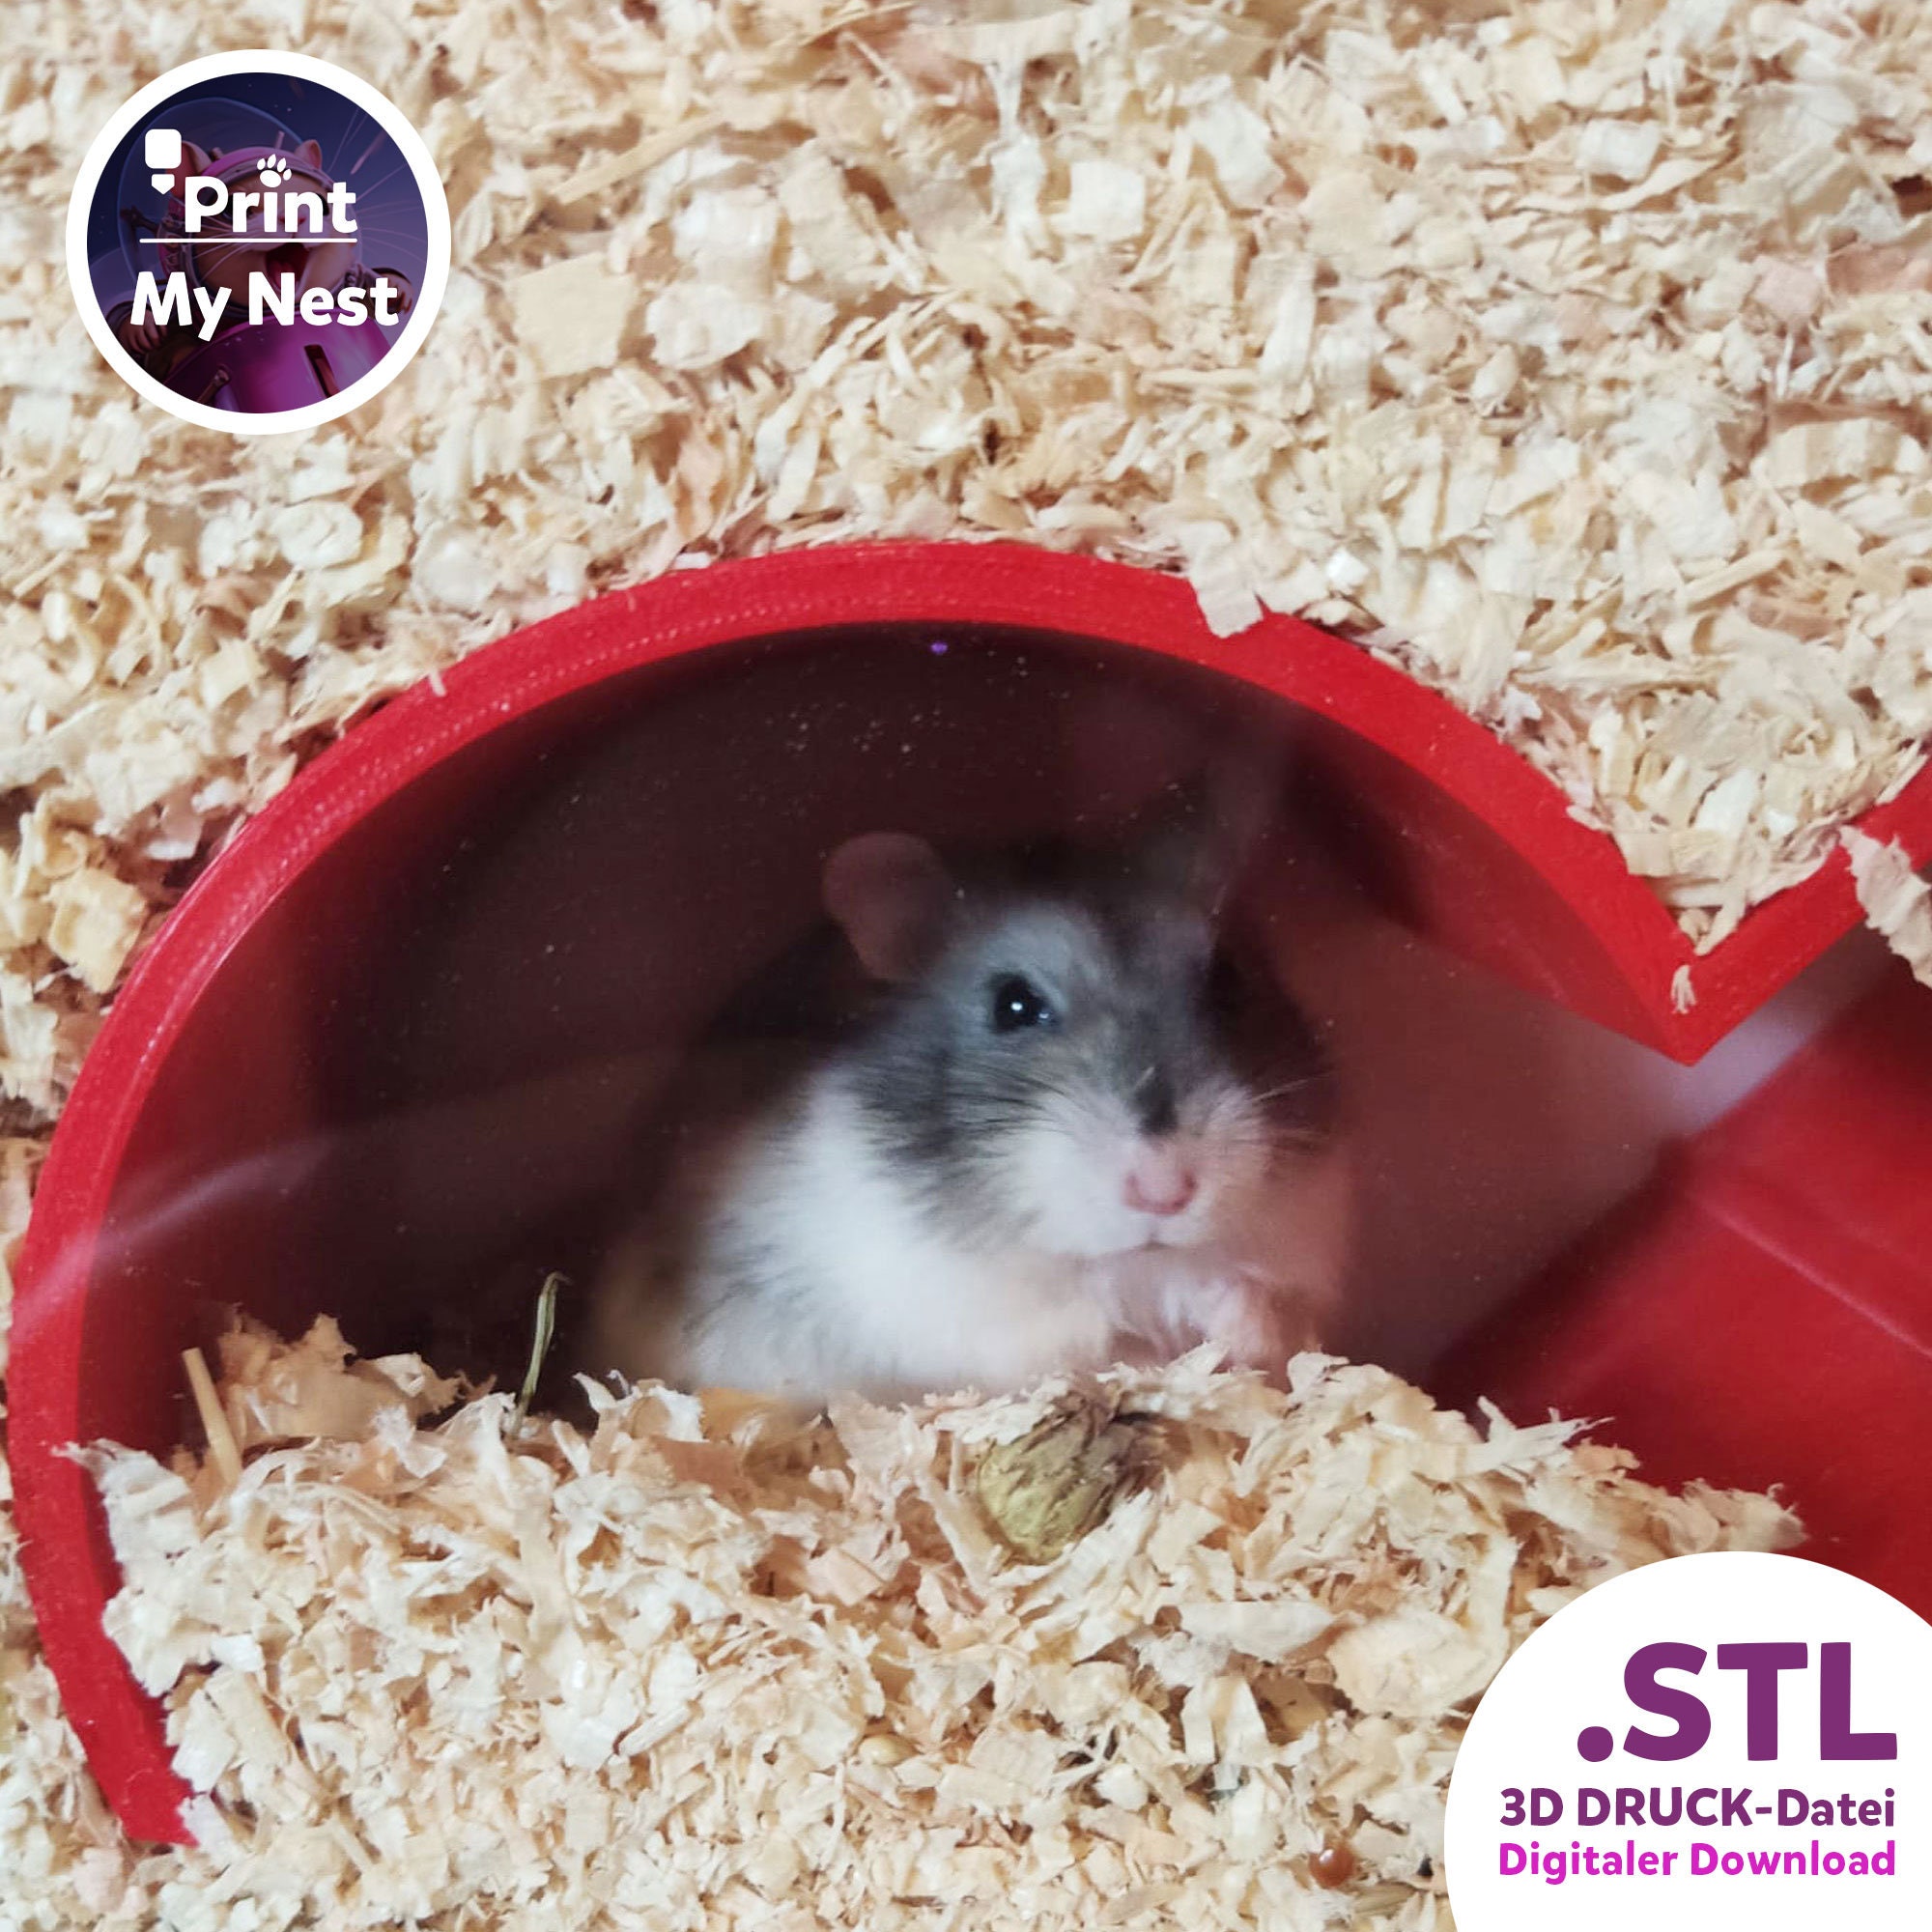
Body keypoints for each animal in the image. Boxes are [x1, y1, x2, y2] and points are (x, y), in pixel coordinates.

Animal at [583, 813, 1351, 1410]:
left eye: (1228, 981)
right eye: (1012, 1004)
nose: (1165, 1193)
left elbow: (1265, 1307)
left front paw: (1234, 1323)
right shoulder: (969, 1316)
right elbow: (1089, 1336)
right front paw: (1159, 1350)